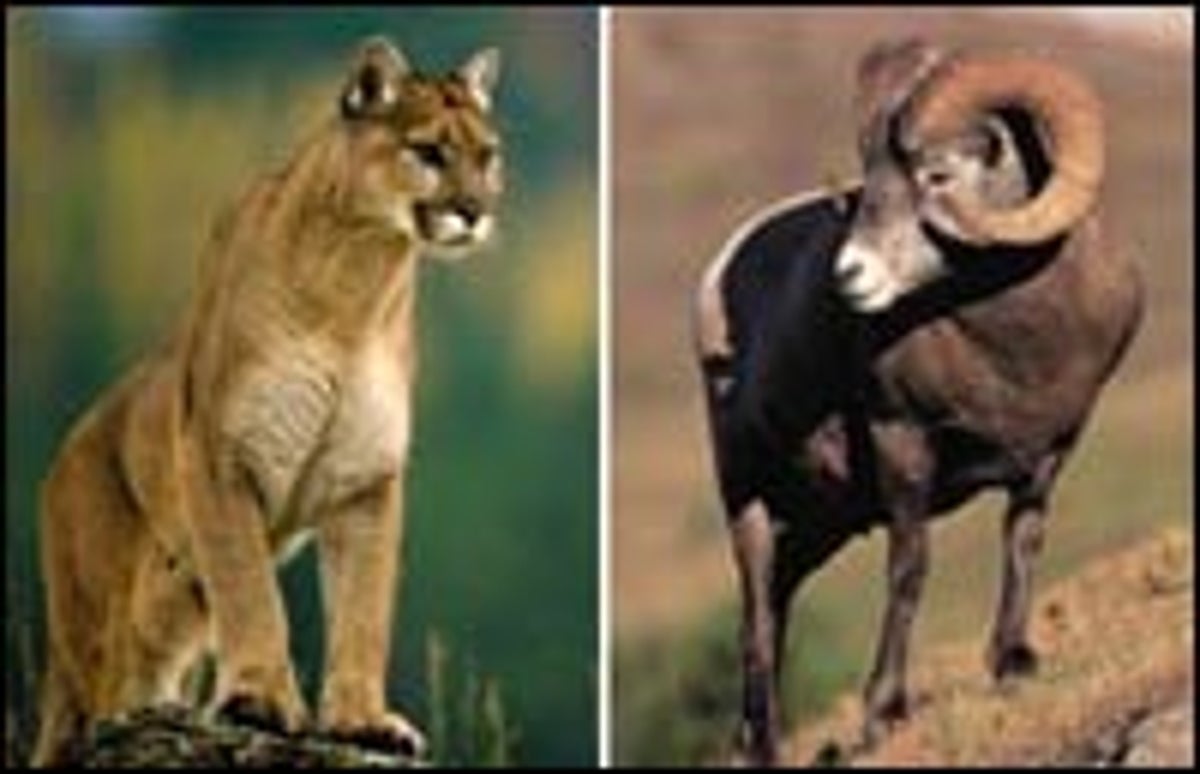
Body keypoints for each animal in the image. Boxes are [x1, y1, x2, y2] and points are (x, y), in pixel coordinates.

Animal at [31, 36, 503, 765]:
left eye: (487, 156)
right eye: (427, 152)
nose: (475, 211)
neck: (357, 283)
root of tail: (64, 454)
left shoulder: (367, 480)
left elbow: (364, 611)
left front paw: (363, 720)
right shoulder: (221, 455)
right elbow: (252, 590)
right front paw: (259, 701)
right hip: (101, 620)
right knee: (94, 708)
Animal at [692, 38, 1143, 766]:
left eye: (936, 174)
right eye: (868, 180)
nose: (849, 276)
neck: (1017, 349)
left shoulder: (1051, 450)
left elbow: (1023, 539)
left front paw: (1013, 662)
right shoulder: (902, 440)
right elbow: (909, 568)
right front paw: (885, 713)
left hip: (818, 525)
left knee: (776, 610)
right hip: (748, 498)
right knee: (756, 623)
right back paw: (764, 749)